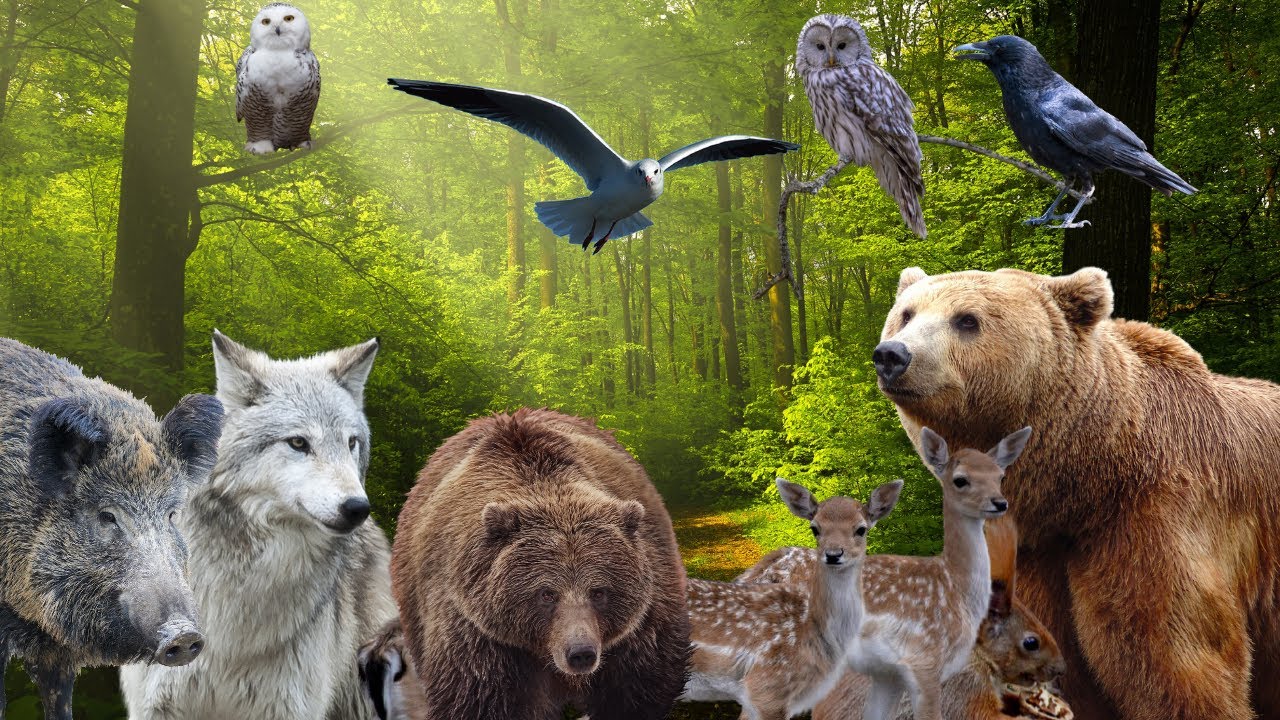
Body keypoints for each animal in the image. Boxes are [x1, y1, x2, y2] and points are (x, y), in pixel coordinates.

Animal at [390, 408, 691, 720]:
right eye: (547, 593)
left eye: (599, 591)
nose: (580, 653)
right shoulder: (477, 631)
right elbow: (478, 699)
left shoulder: (642, 624)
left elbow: (638, 687)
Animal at [870, 265, 1280, 720]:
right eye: (906, 314)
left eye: (967, 320)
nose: (892, 355)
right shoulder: (1035, 552)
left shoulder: (1156, 513)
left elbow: (1178, 654)